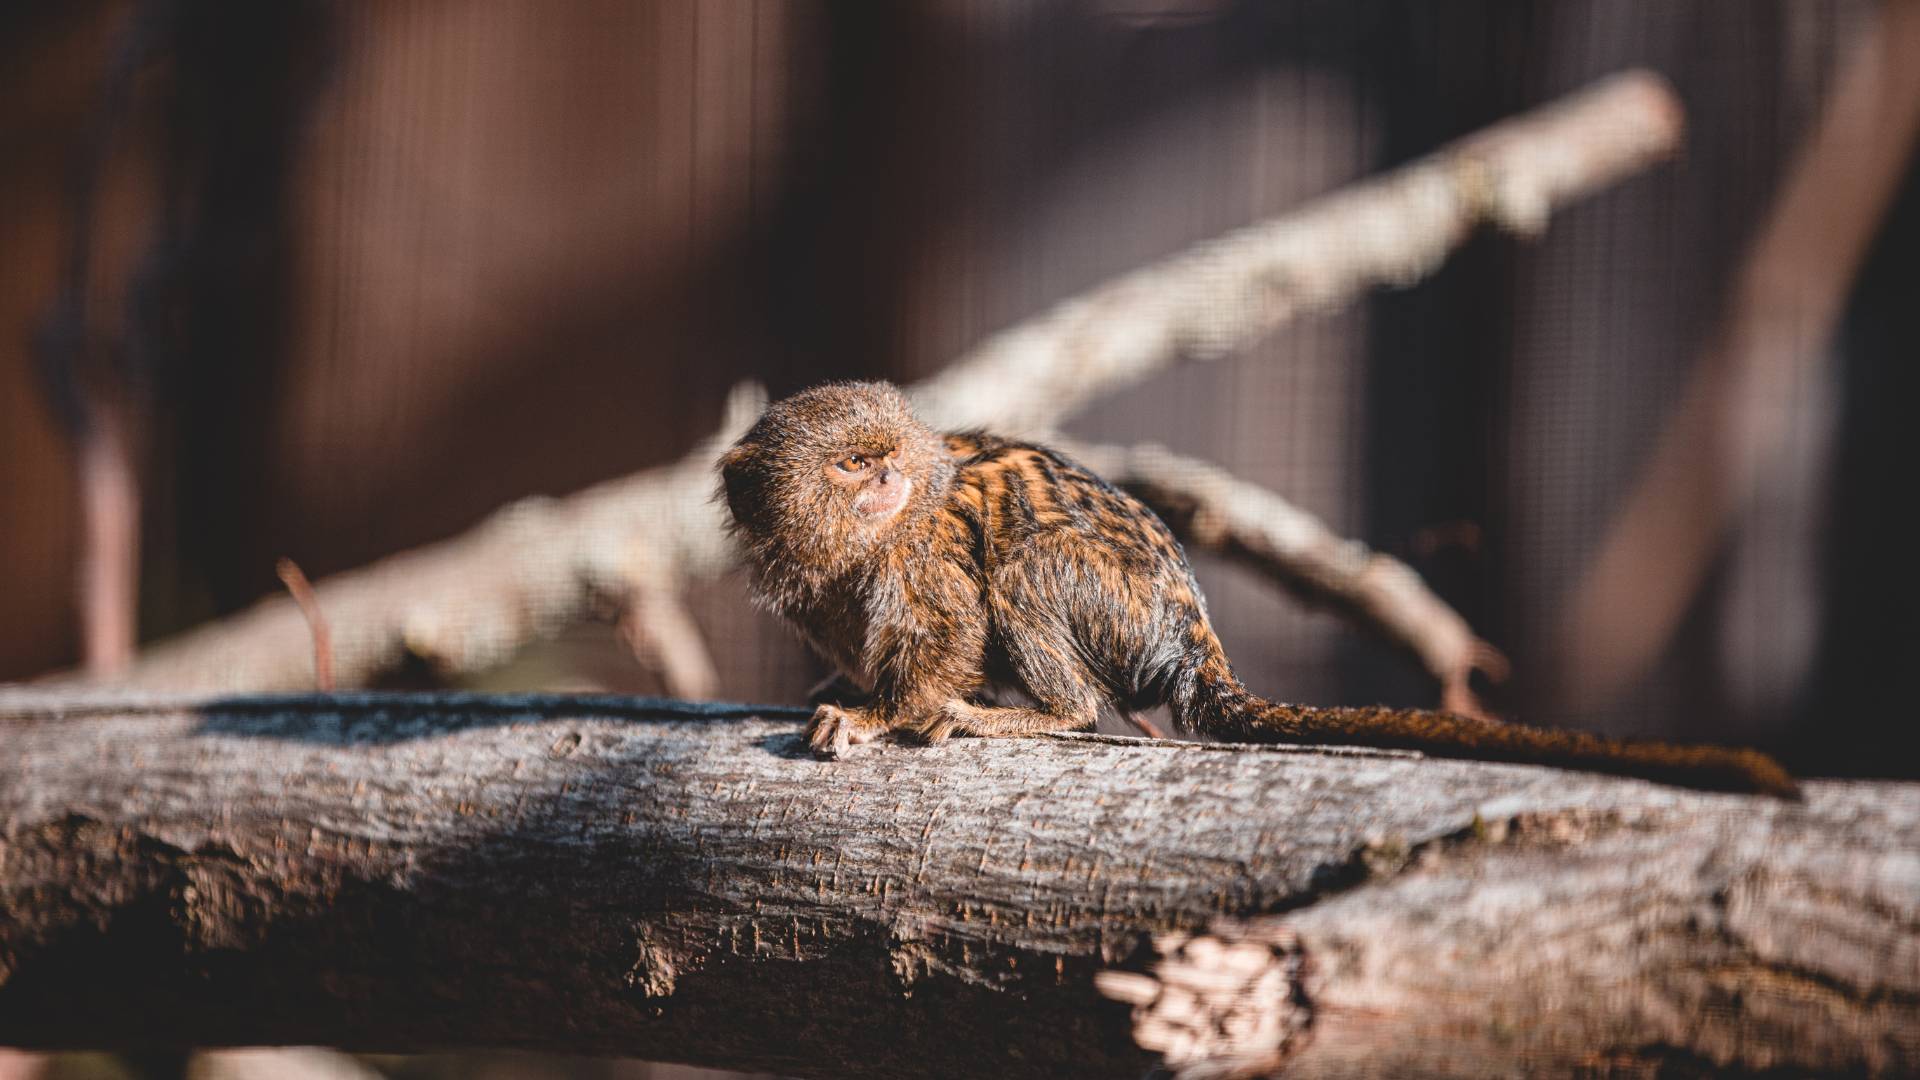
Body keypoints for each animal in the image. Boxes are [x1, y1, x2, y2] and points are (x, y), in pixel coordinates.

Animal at [718, 381, 1798, 798]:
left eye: (885, 460)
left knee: (1026, 578)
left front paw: (881, 715)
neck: (861, 545)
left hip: (1098, 594)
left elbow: (949, 635)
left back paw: (1027, 714)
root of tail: (1195, 638)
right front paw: (844, 688)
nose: (888, 484)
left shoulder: (922, 554)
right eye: (851, 466)